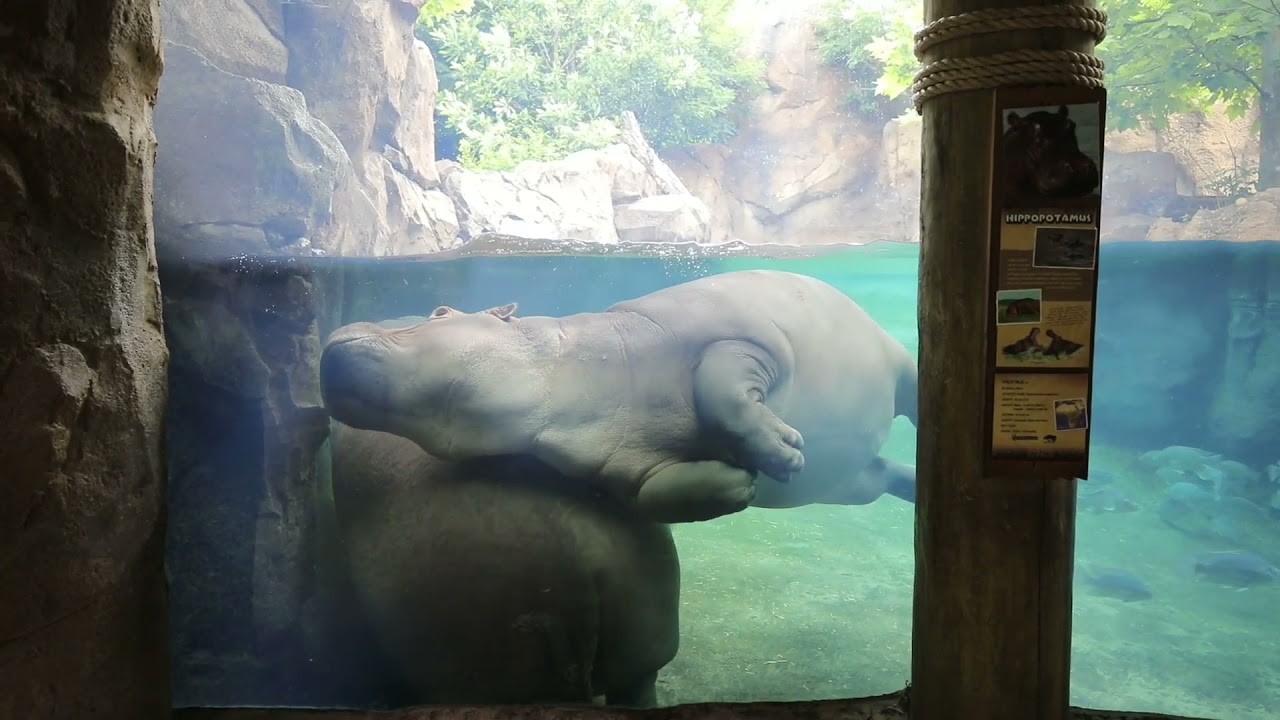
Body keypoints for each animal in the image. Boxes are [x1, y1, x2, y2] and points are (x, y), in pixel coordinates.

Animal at [319, 270, 919, 524]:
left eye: (441, 311)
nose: (332, 336)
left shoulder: (737, 339)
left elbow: (720, 392)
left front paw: (785, 453)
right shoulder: (622, 468)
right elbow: (656, 495)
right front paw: (738, 485)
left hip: (898, 363)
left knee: (911, 392)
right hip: (852, 482)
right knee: (885, 473)